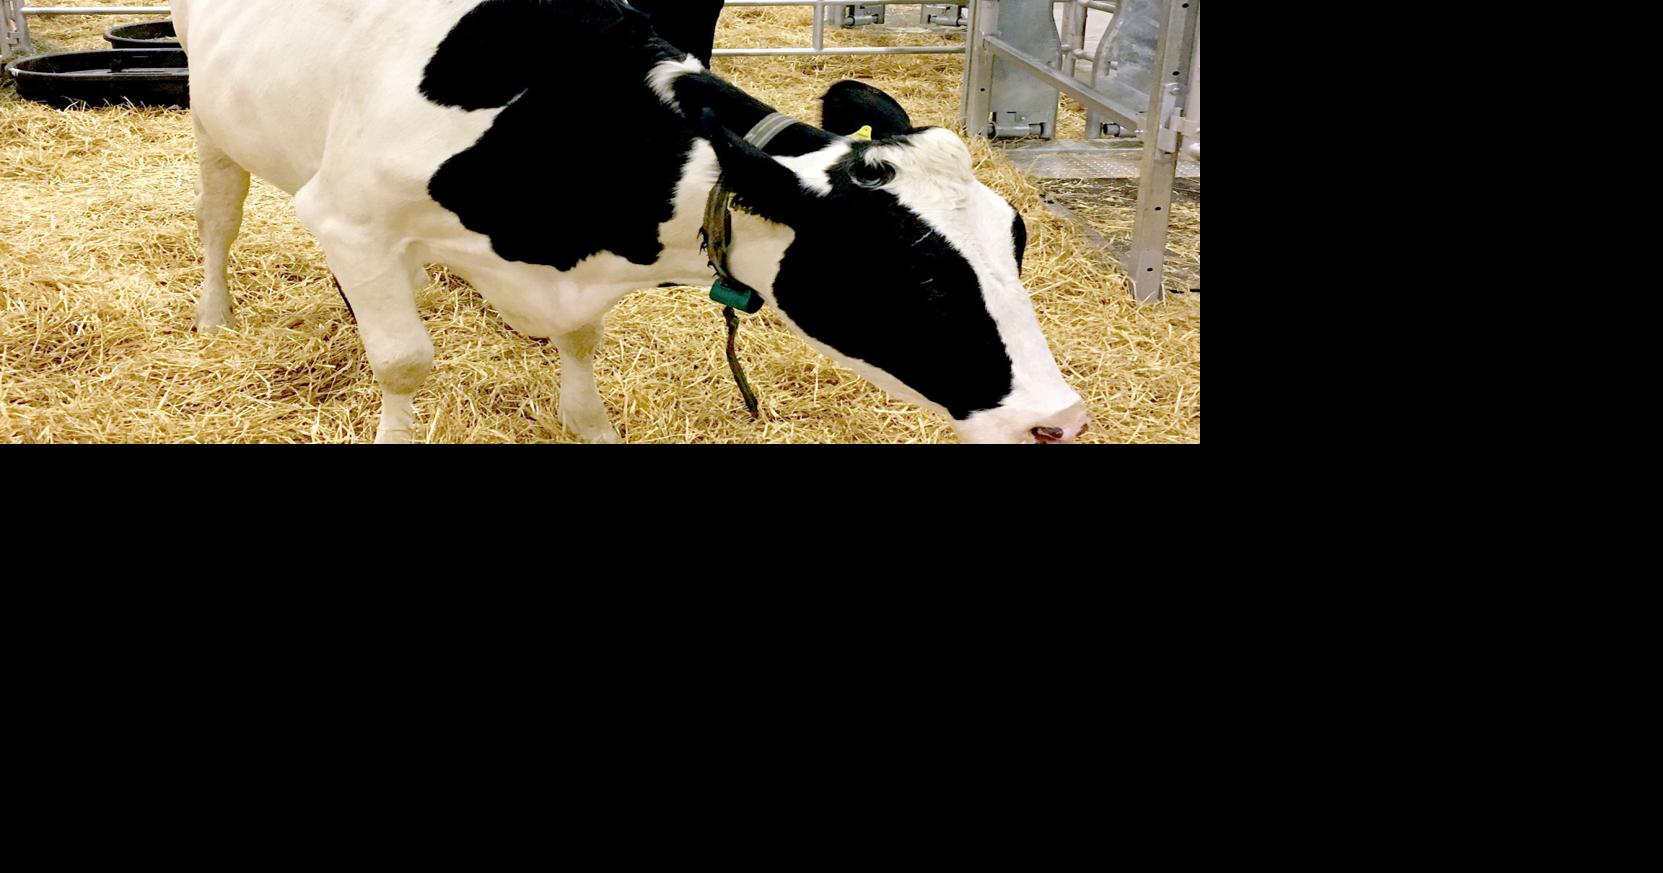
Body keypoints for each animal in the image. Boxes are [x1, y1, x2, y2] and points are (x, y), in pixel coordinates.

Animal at [173, 0, 1090, 444]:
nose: (1062, 420)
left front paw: (592, 425)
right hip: (209, 109)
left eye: (1015, 242)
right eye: (915, 274)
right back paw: (215, 314)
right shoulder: (347, 216)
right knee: (219, 217)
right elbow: (403, 363)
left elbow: (580, 350)